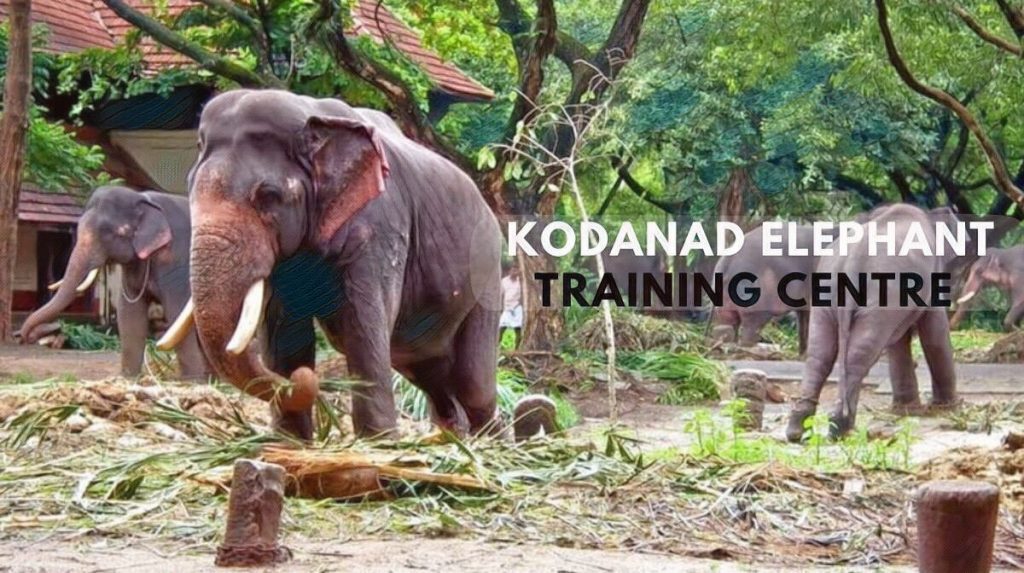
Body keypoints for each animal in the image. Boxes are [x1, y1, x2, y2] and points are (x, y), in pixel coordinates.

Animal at [19, 186, 208, 379]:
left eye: (114, 233)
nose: (26, 338)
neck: (143, 198)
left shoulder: (175, 260)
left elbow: (176, 311)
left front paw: (191, 380)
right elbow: (129, 314)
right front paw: (129, 377)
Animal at [158, 89, 502, 441]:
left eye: (268, 196)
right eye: (190, 187)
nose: (304, 377)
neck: (312, 116)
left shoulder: (380, 226)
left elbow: (363, 322)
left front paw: (379, 443)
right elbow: (284, 329)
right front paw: (291, 443)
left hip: (487, 278)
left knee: (473, 384)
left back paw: (488, 441)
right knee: (434, 378)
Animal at [785, 204, 960, 442]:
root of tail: (851, 262)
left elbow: (899, 341)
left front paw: (907, 410)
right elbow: (934, 333)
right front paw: (949, 408)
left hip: (828, 294)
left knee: (819, 354)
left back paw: (797, 431)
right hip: (879, 292)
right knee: (859, 354)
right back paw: (840, 427)